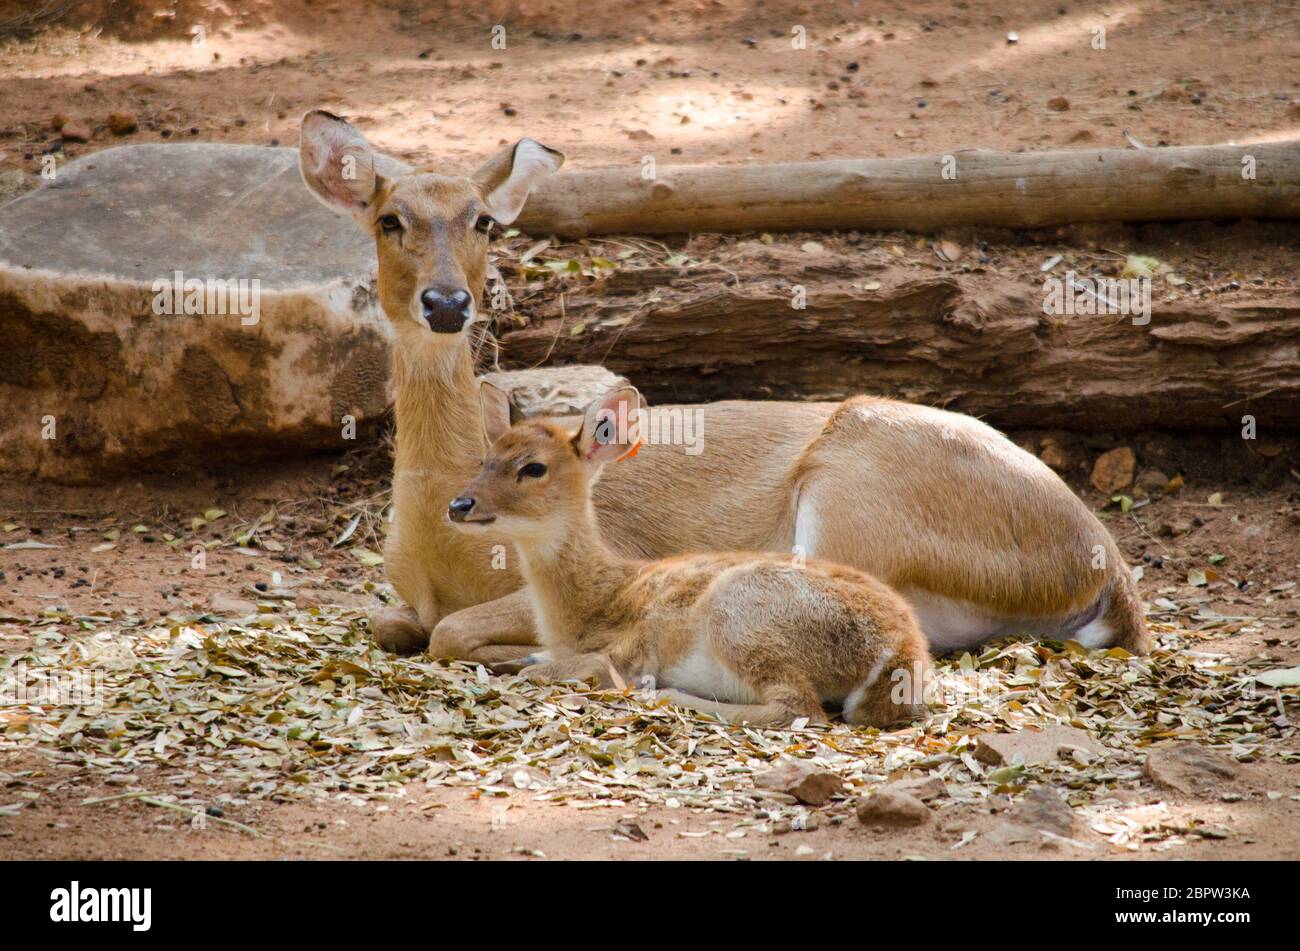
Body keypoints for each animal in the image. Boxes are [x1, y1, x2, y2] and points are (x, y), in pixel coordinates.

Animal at [297, 109, 1150, 671]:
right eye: (388, 218)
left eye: (485, 221)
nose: (447, 303)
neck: (441, 544)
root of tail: (1104, 572)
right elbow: (395, 624)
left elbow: (452, 632)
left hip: (849, 510)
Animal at [447, 386, 934, 727]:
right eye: (484, 459)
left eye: (534, 467)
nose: (459, 505)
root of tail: (901, 650)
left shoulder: (630, 645)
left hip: (741, 616)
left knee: (797, 709)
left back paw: (667, 694)